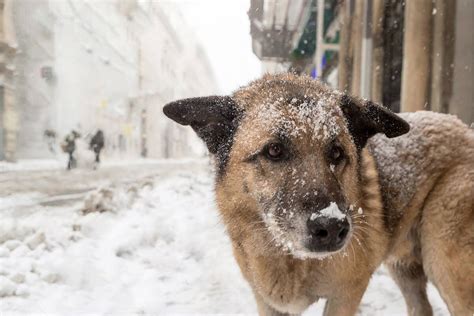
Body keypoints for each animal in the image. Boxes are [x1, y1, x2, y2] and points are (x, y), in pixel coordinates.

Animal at [164, 73, 474, 314]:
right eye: (274, 150)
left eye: (337, 153)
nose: (332, 226)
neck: (288, 256)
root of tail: (464, 128)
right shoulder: (269, 304)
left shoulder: (346, 295)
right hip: (404, 267)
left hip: (445, 264)